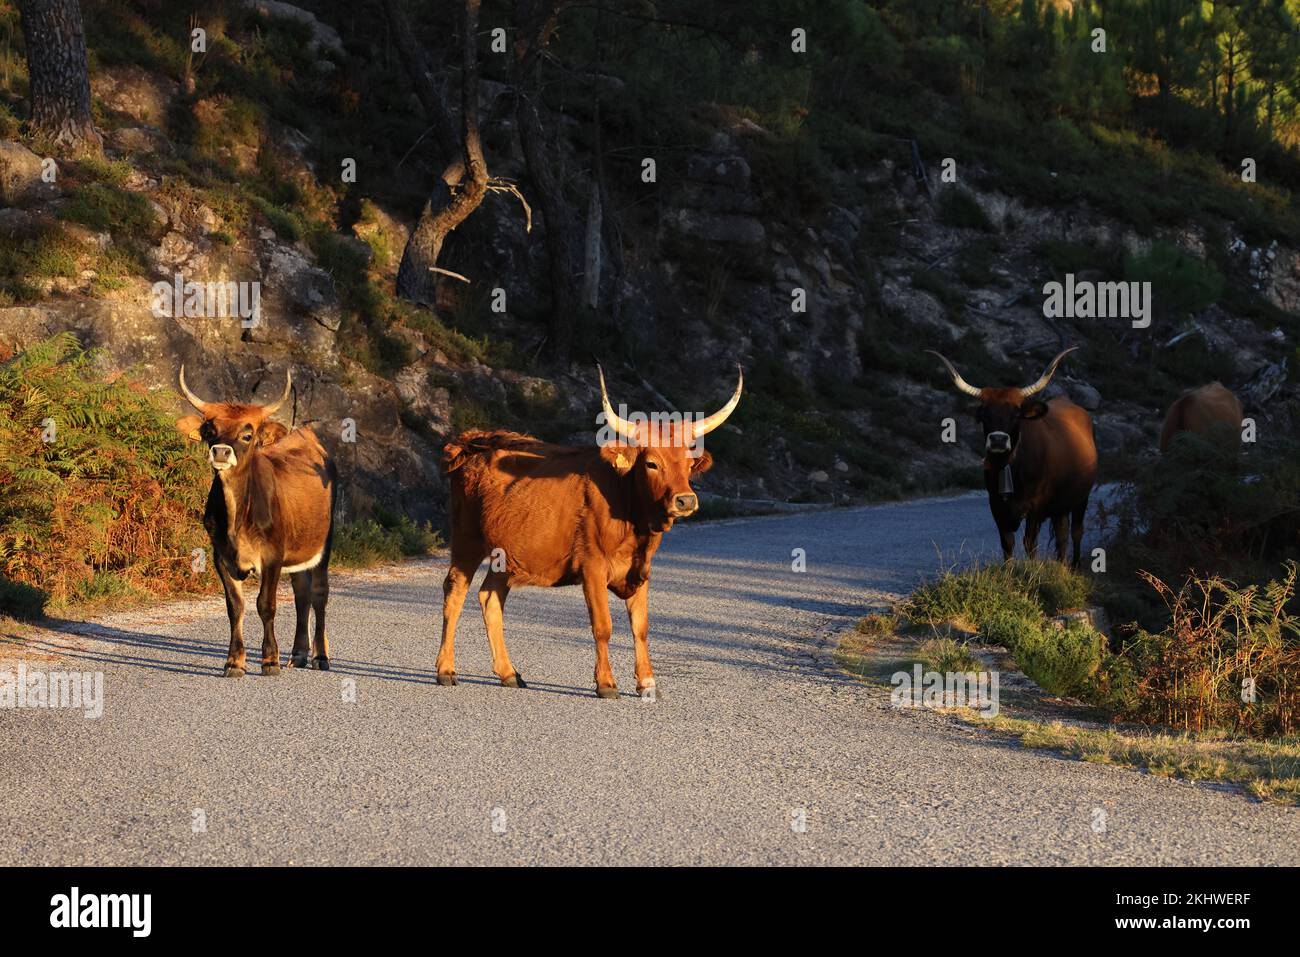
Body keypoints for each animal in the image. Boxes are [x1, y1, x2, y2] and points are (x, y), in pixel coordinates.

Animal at [175, 368, 337, 677]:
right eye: (210, 431)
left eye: (247, 434)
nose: (221, 452)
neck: (238, 518)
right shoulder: (220, 555)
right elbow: (235, 606)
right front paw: (234, 662)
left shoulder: (273, 554)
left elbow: (266, 604)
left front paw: (270, 660)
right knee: (301, 593)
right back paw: (298, 654)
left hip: (324, 544)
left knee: (319, 593)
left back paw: (320, 656)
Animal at [436, 366, 742, 699]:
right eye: (651, 463)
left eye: (688, 463)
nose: (685, 500)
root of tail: (476, 441)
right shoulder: (592, 566)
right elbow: (603, 626)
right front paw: (606, 683)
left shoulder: (642, 570)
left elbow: (640, 627)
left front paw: (647, 682)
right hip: (466, 539)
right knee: (455, 591)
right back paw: (446, 671)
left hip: (506, 553)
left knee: (490, 597)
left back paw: (509, 674)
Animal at [928, 347, 1097, 566]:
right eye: (984, 414)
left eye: (1016, 414)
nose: (998, 440)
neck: (1010, 467)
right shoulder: (996, 506)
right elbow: (1007, 543)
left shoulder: (1036, 507)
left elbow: (1030, 542)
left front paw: (1032, 571)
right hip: (1061, 505)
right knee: (1062, 534)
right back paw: (1062, 567)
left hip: (1081, 497)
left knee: (1076, 532)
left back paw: (1074, 566)